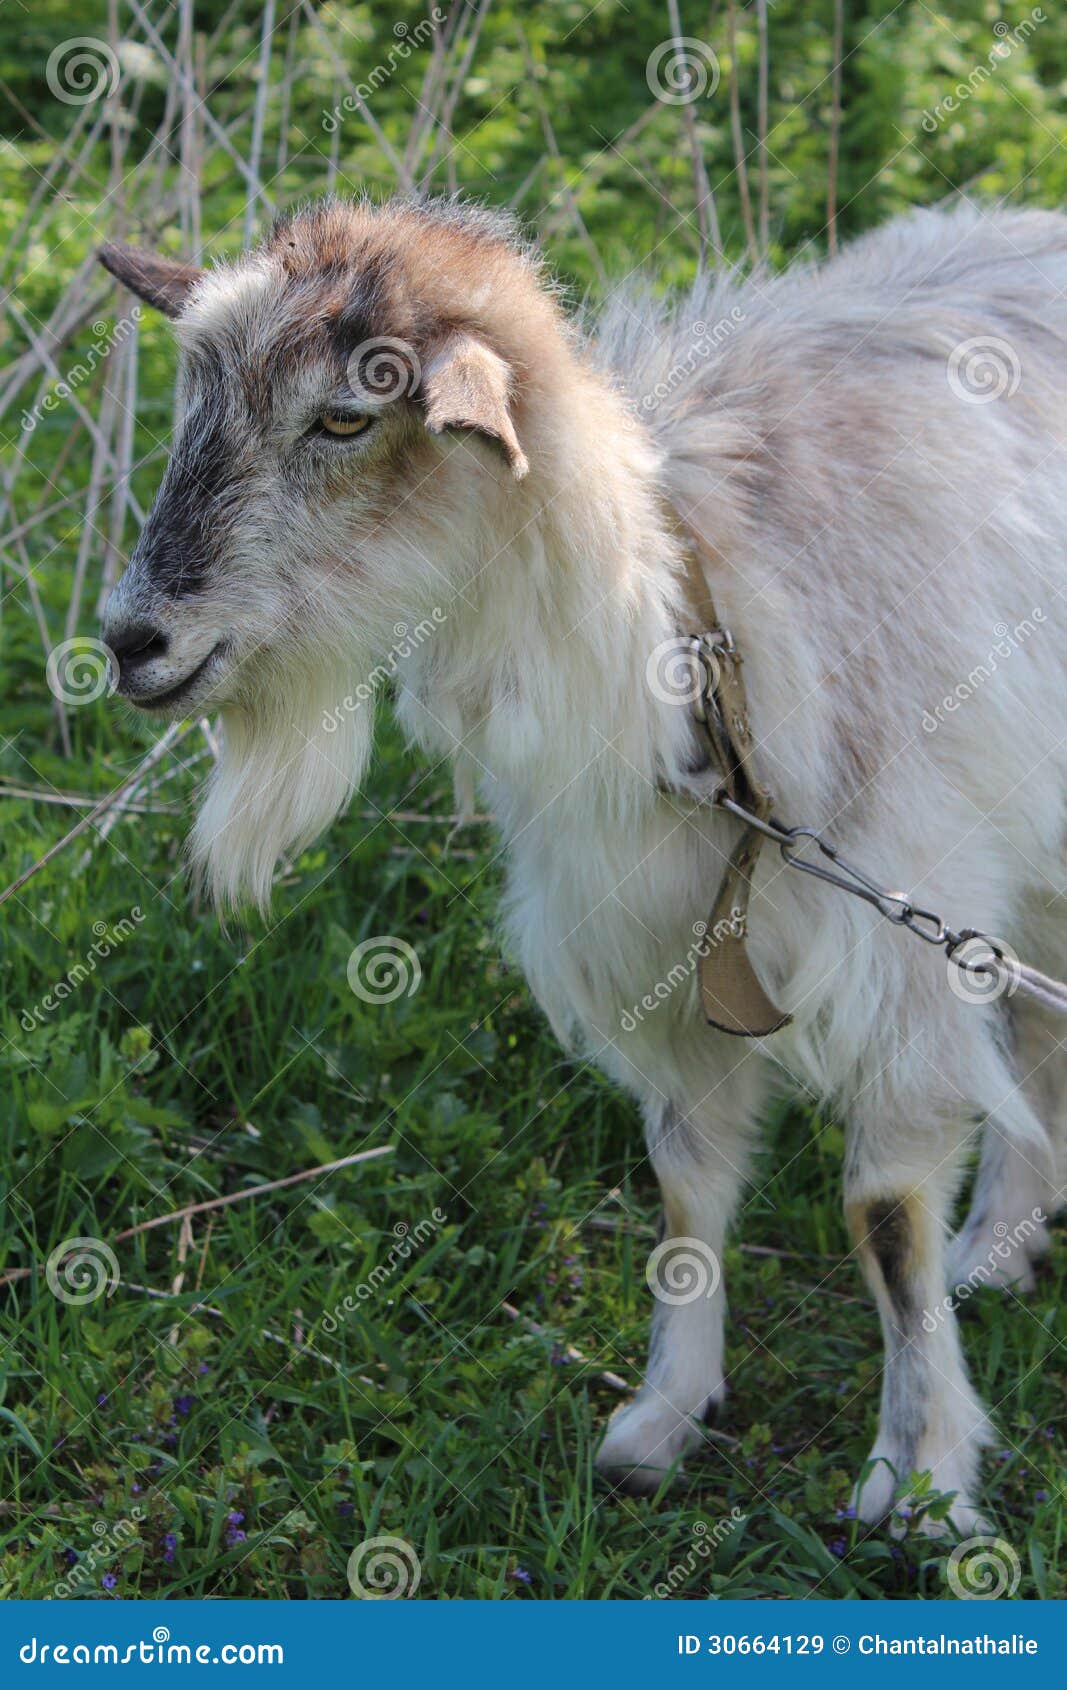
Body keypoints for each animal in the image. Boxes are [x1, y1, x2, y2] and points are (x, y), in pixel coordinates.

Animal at [98, 196, 1067, 1529]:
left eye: (345, 416)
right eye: (193, 400)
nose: (129, 641)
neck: (691, 631)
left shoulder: (896, 954)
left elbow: (879, 1215)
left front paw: (918, 1479)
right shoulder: (659, 949)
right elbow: (683, 1175)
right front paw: (661, 1415)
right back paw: (1001, 1241)